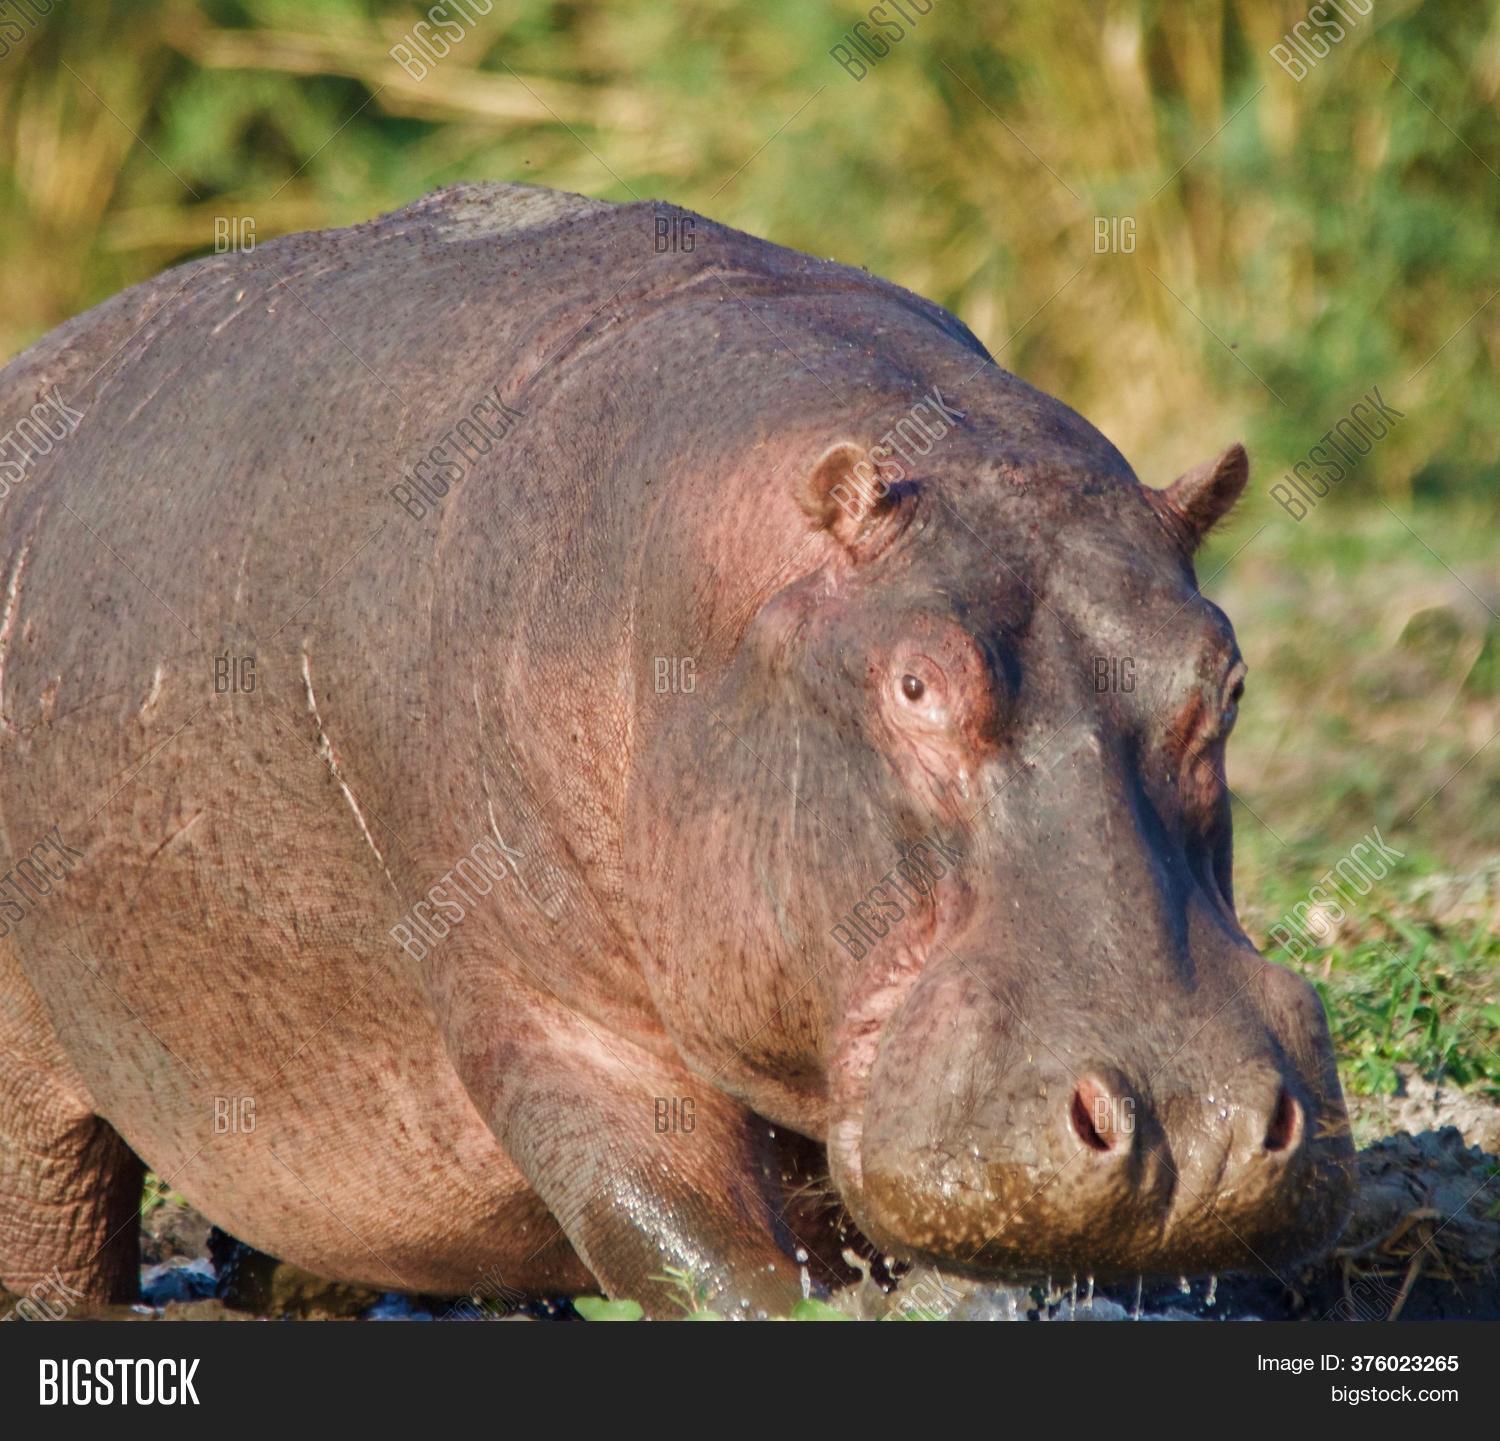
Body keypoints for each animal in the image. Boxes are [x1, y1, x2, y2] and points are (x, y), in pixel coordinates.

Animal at [0, 182, 1353, 1318]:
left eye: (1226, 676)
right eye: (914, 681)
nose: (1196, 1124)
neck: (703, 580)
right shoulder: (543, 1002)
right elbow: (689, 1243)